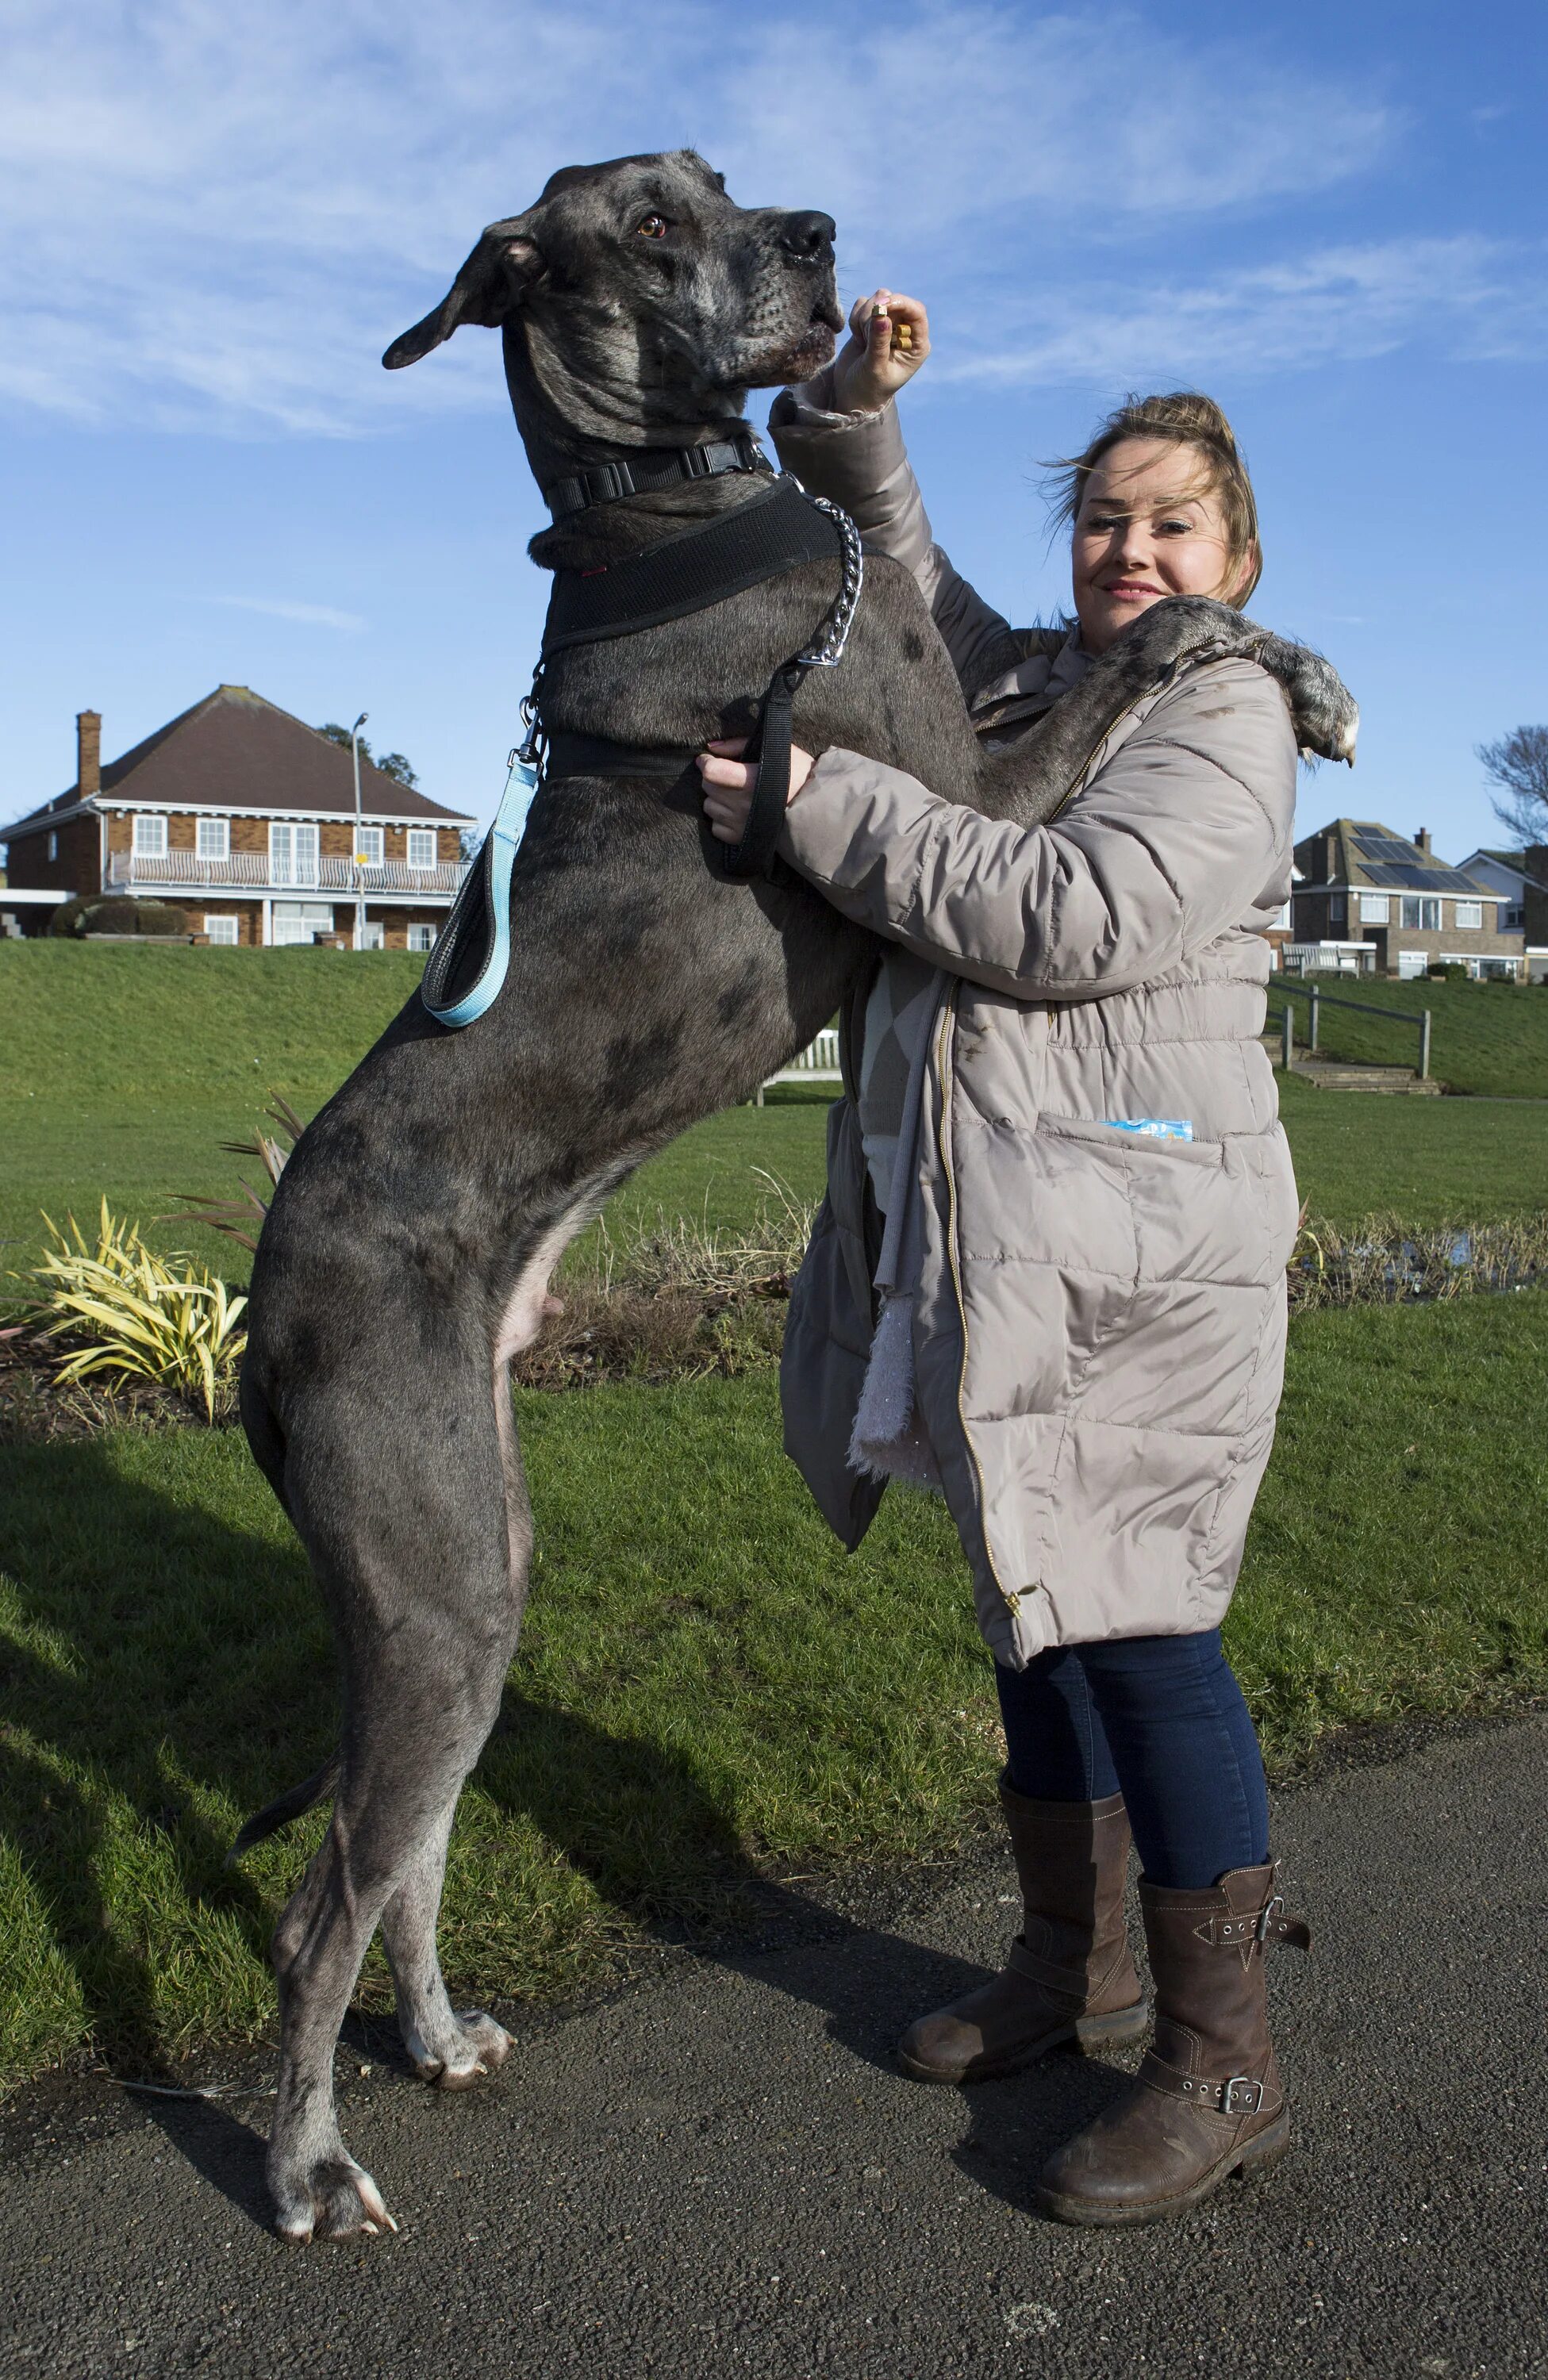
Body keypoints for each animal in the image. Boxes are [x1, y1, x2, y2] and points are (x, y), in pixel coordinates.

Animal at [238, 153, 1352, 2247]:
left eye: (715, 177)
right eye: (649, 224)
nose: (821, 235)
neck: (672, 502)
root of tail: (256, 1315)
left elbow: (1119, 625)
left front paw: (1309, 670)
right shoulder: (959, 790)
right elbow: (1138, 639)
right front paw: (1271, 659)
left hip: (473, 1571)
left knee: (401, 1847)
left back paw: (432, 2043)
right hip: (430, 1584)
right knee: (320, 1897)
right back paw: (309, 2160)